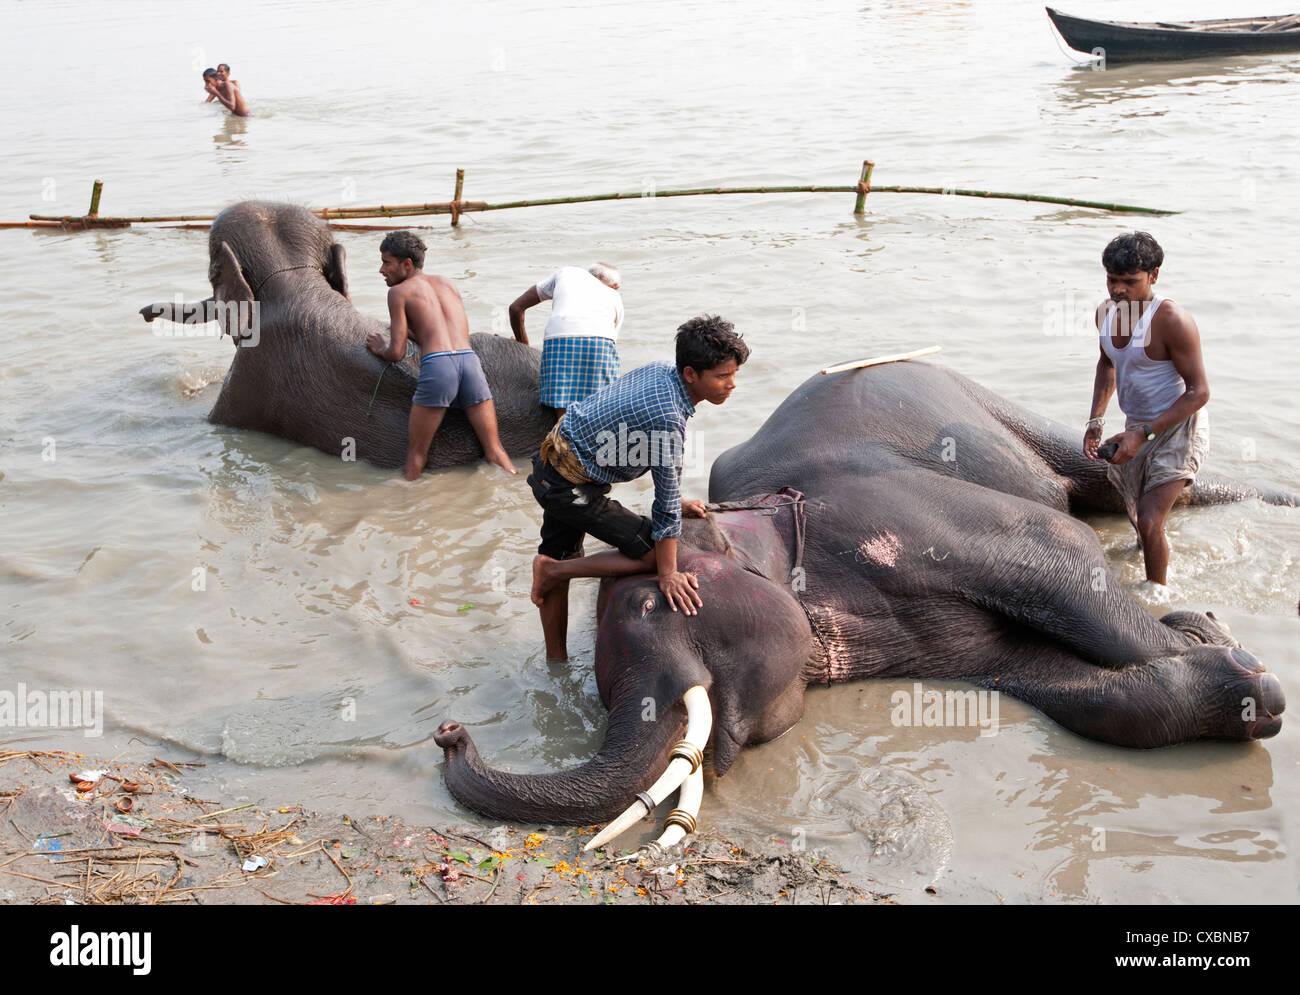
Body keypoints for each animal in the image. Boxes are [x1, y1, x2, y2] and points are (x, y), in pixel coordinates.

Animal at [434, 359, 1292, 851]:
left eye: (650, 607)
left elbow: (1061, 550)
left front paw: (1252, 677)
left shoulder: (903, 515)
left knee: (1101, 487)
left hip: (990, 407)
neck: (759, 519)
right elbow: (1056, 680)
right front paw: (1224, 664)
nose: (448, 732)